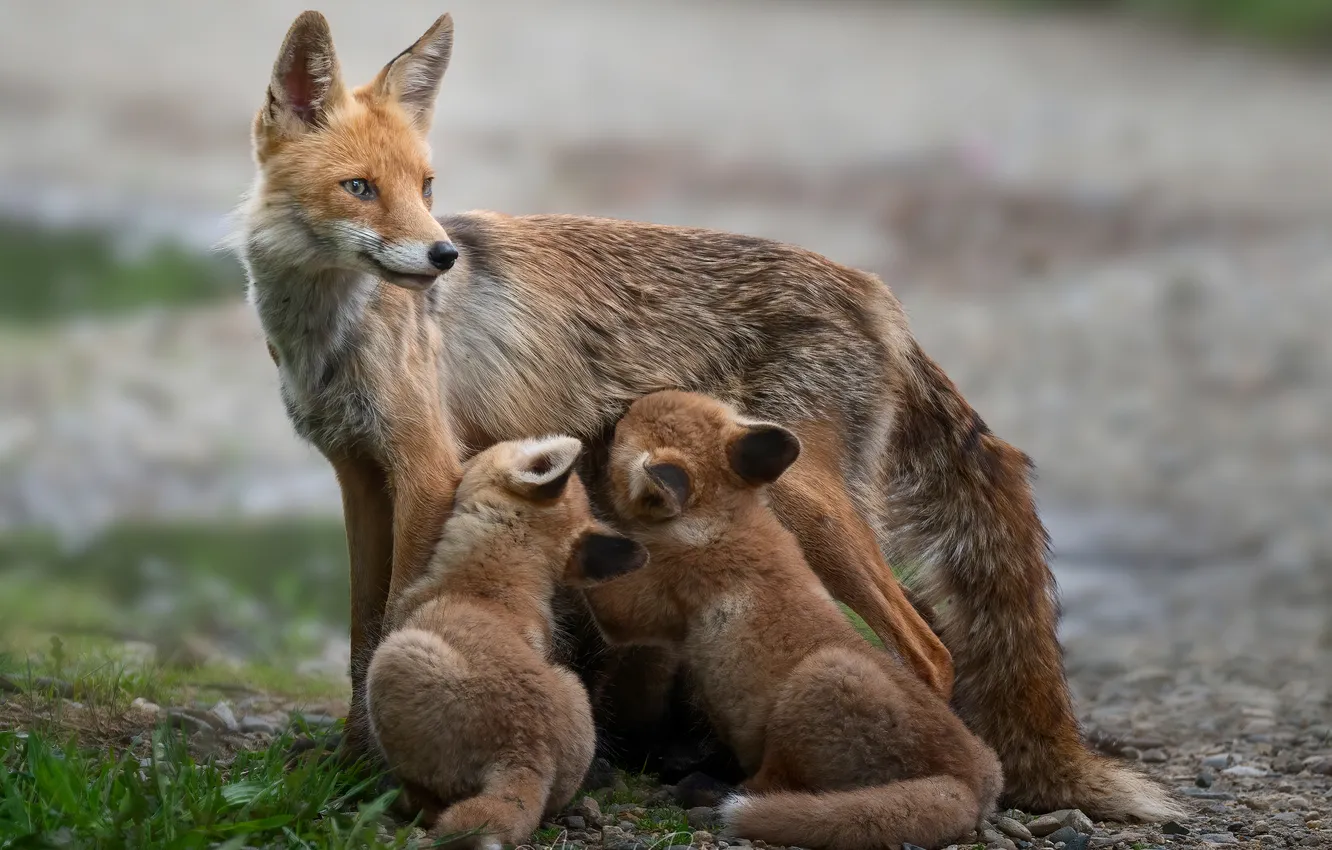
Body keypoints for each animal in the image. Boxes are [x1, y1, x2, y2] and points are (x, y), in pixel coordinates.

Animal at [366, 434, 648, 848]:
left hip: (394, 659)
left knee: (428, 803)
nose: (465, 455)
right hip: (572, 683)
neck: (496, 581)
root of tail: (528, 759)